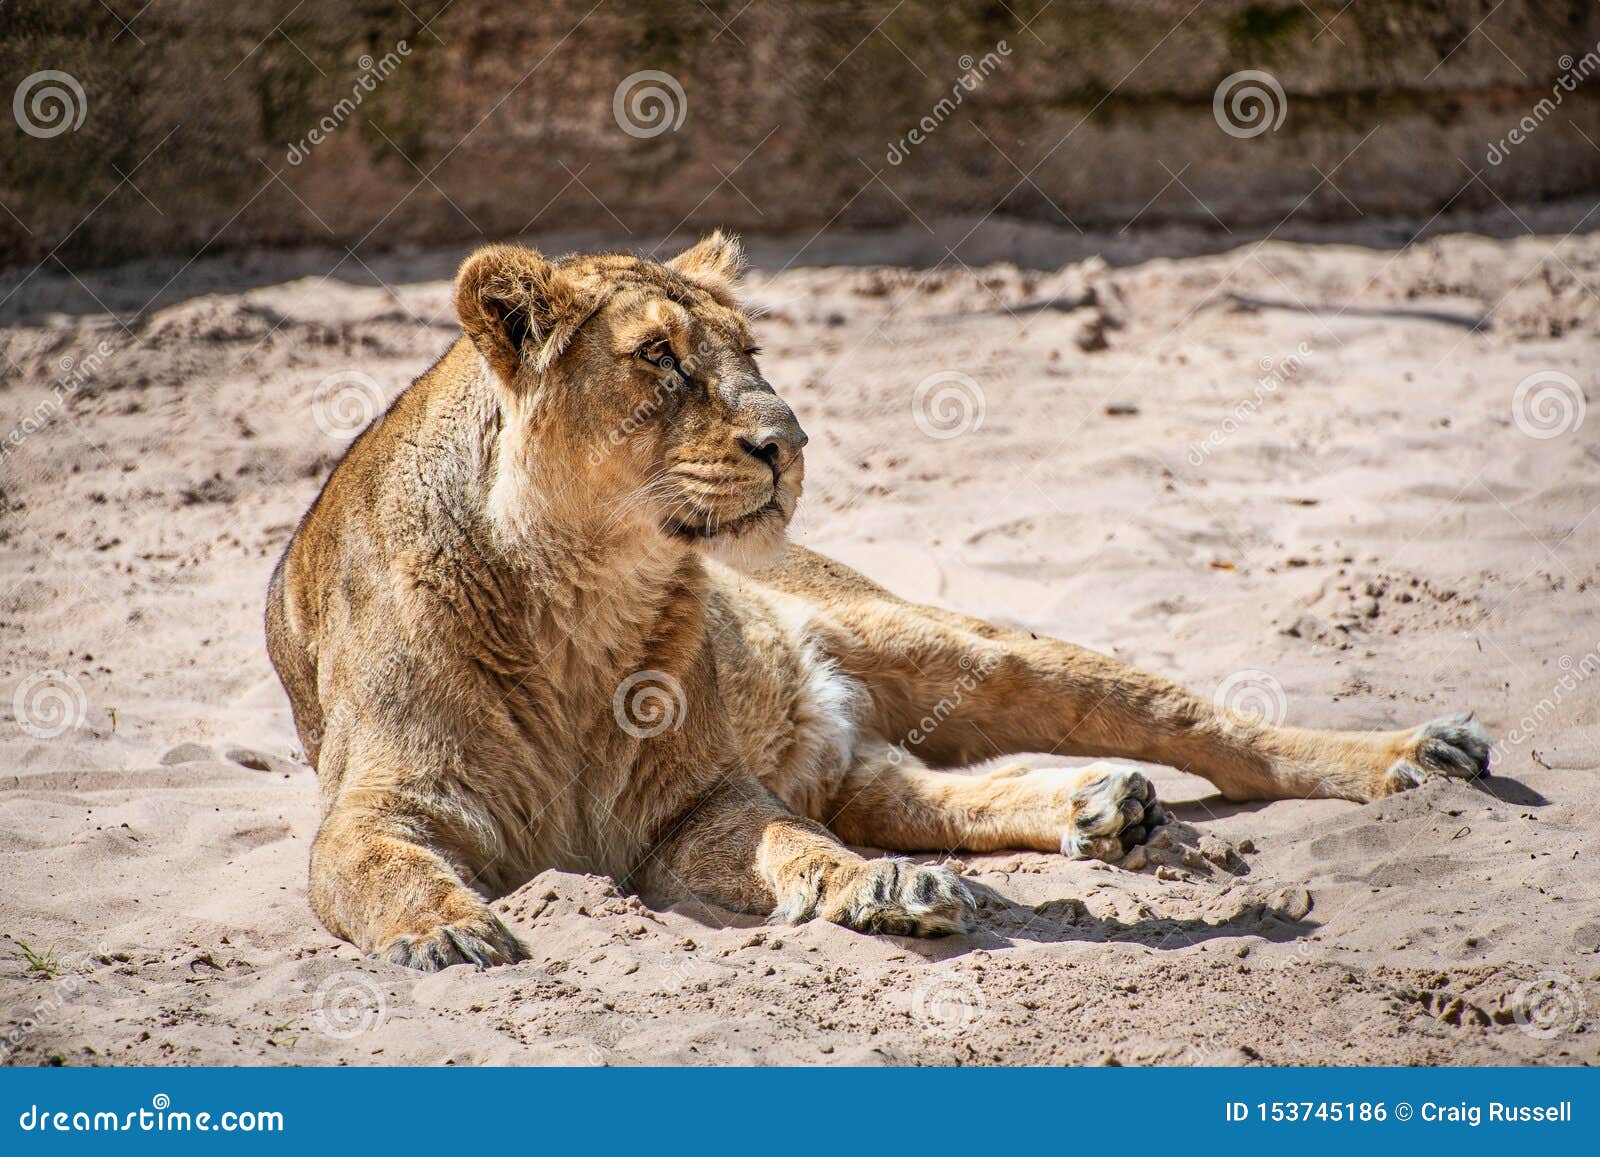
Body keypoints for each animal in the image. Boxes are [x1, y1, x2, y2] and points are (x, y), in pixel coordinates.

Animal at [265, 232, 1491, 969]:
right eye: (660, 358)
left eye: (751, 350)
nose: (788, 438)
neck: (583, 597)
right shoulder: (377, 806)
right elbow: (379, 867)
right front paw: (447, 933)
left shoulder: (695, 804)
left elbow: (795, 847)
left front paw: (884, 892)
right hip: (861, 754)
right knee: (936, 794)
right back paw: (1109, 810)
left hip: (966, 650)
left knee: (1213, 730)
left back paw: (1411, 756)